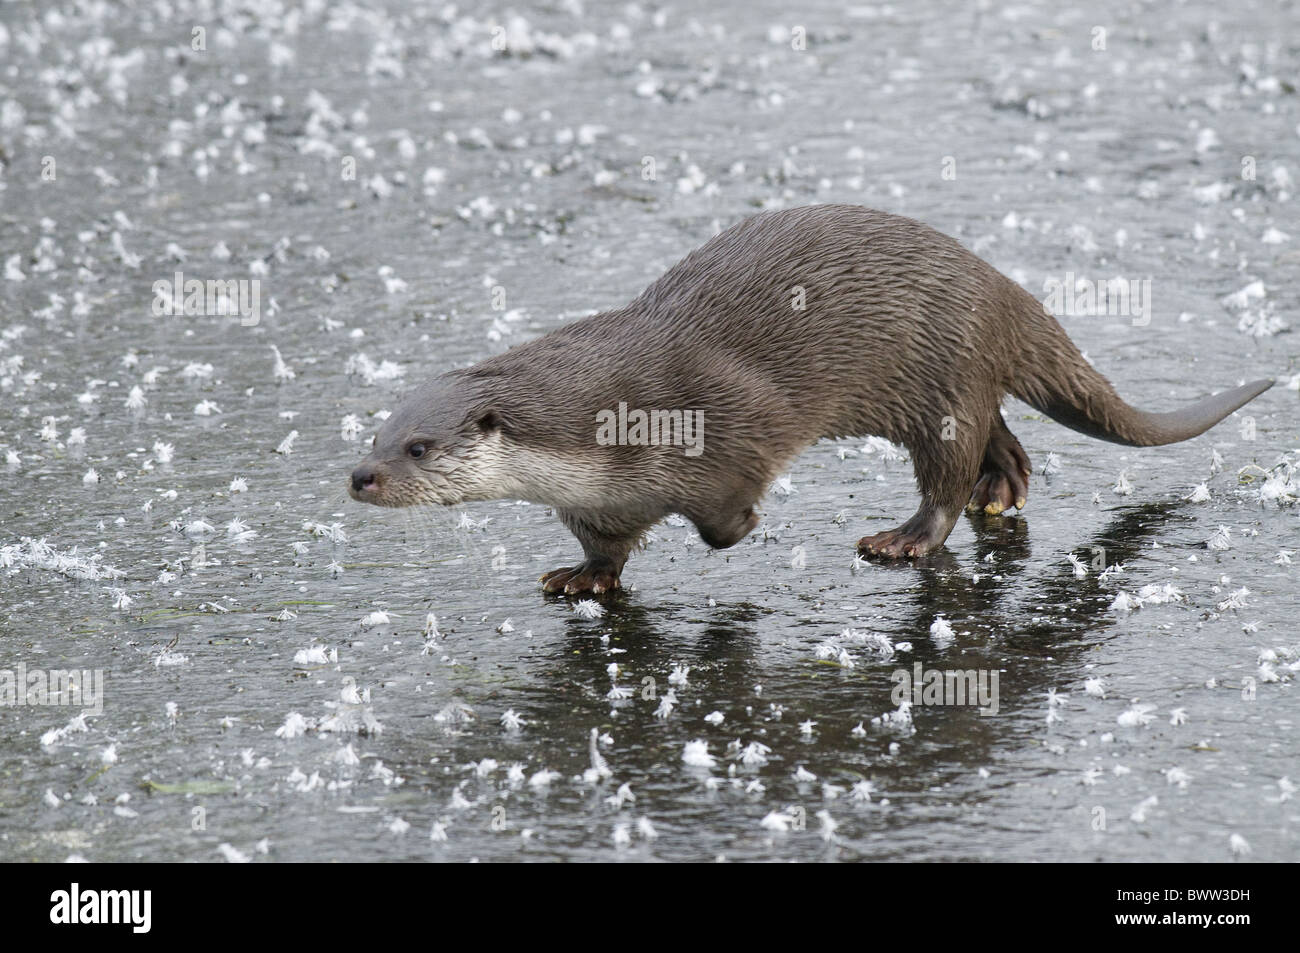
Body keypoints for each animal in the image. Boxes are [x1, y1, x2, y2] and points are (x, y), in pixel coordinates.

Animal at [348, 205, 1272, 594]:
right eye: (377, 431)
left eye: (418, 447)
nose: (360, 477)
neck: (603, 430)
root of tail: (998, 285)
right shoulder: (599, 500)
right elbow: (605, 546)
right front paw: (581, 577)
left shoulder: (725, 421)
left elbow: (727, 505)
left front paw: (739, 530)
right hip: (958, 377)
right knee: (1002, 435)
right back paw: (999, 491)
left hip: (940, 368)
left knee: (946, 470)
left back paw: (907, 537)